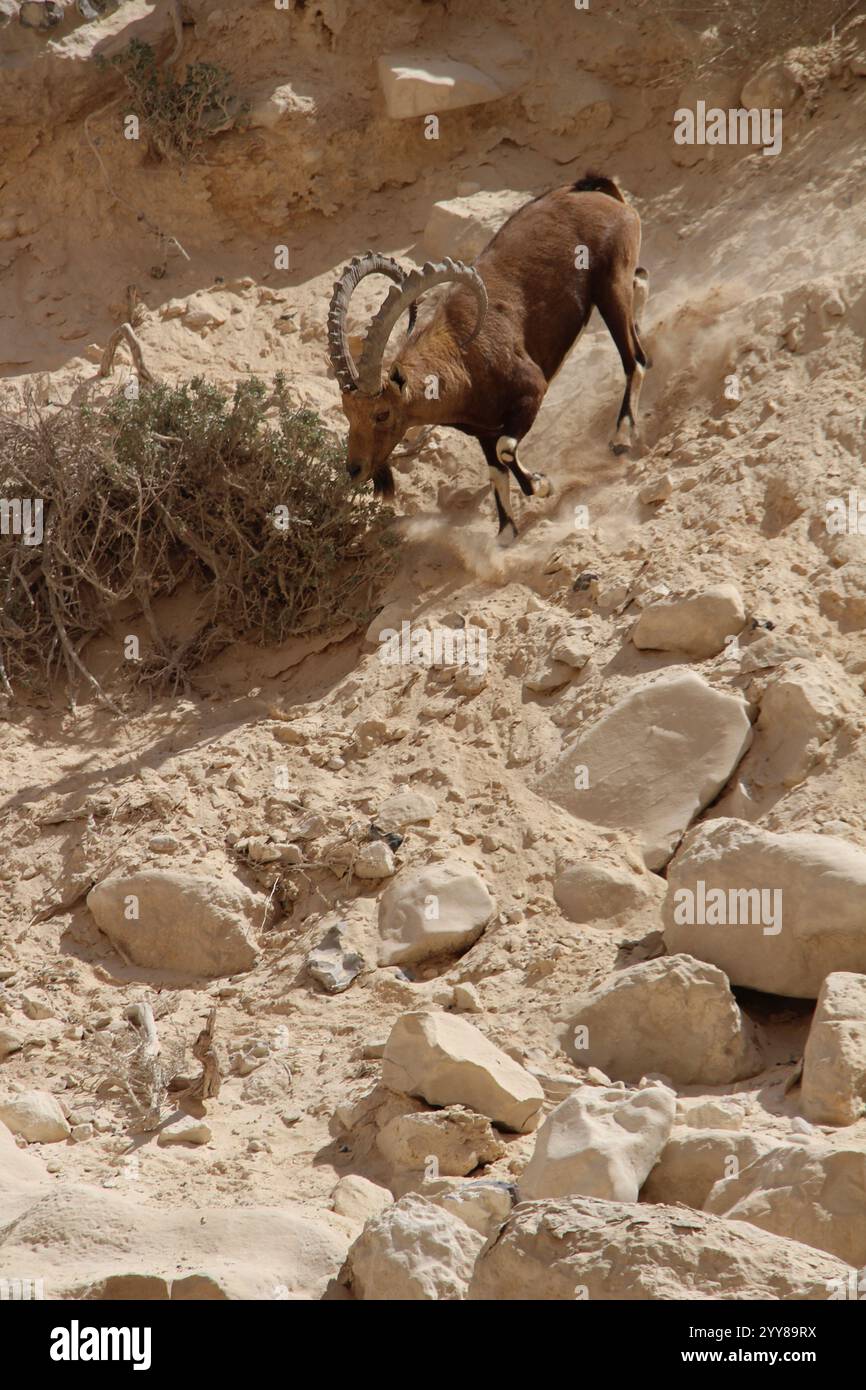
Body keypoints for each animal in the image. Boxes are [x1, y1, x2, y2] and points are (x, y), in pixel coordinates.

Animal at [327, 174, 649, 544]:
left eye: (381, 414)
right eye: (347, 412)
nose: (355, 469)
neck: (462, 360)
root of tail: (597, 191)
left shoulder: (531, 392)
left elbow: (506, 450)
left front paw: (542, 484)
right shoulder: (484, 432)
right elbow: (496, 470)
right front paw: (506, 532)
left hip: (610, 285)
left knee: (634, 359)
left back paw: (622, 436)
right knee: (641, 289)